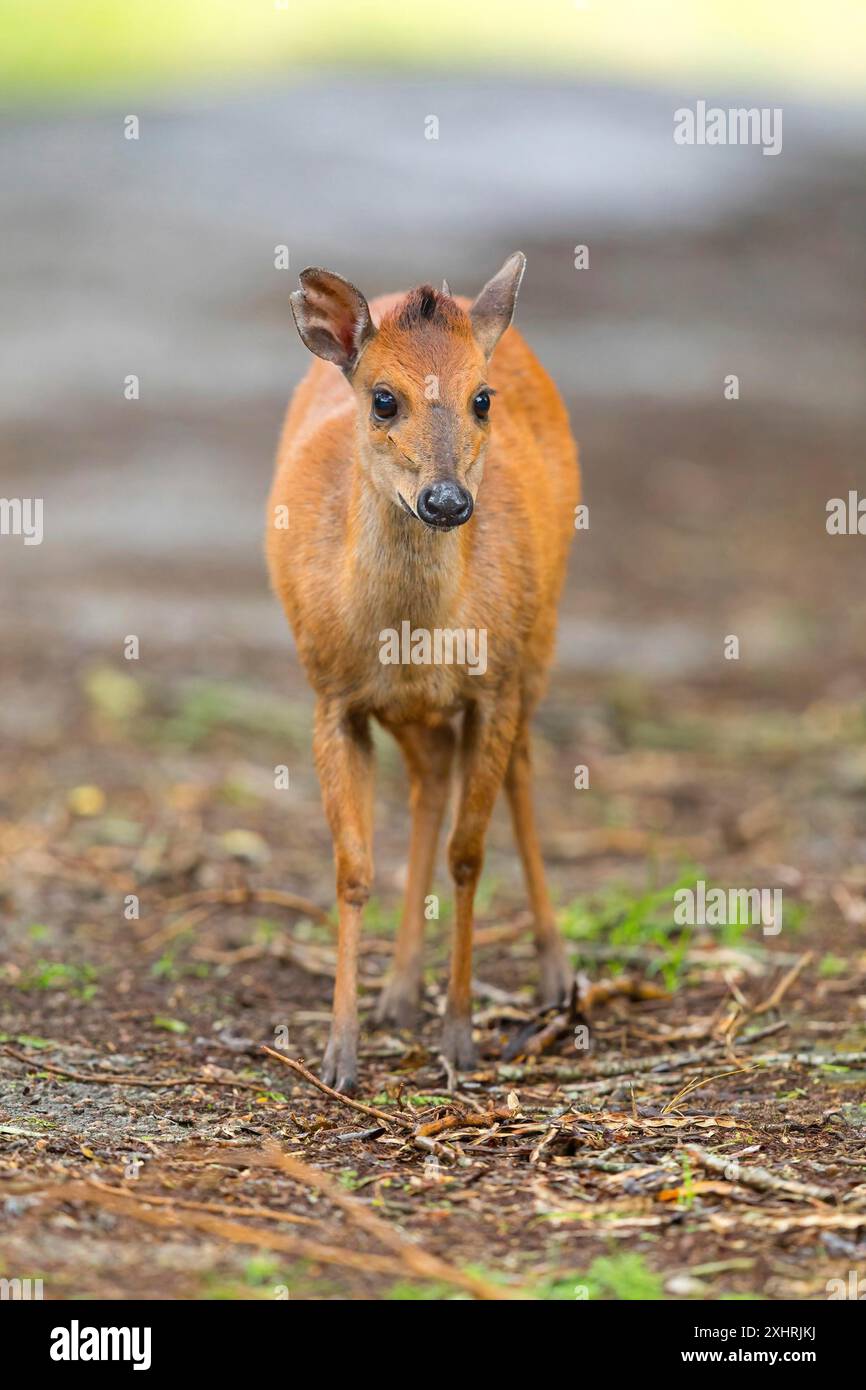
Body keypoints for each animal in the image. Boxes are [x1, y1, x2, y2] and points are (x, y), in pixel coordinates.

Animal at [267, 254, 580, 1091]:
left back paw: (555, 976)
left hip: (539, 639)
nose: (446, 500)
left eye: (482, 397)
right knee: (430, 782)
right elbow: (352, 869)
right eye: (383, 398)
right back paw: (400, 993)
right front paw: (340, 1055)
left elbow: (469, 857)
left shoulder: (493, 685)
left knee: (521, 772)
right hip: (415, 714)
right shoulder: (330, 696)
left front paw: (461, 1040)